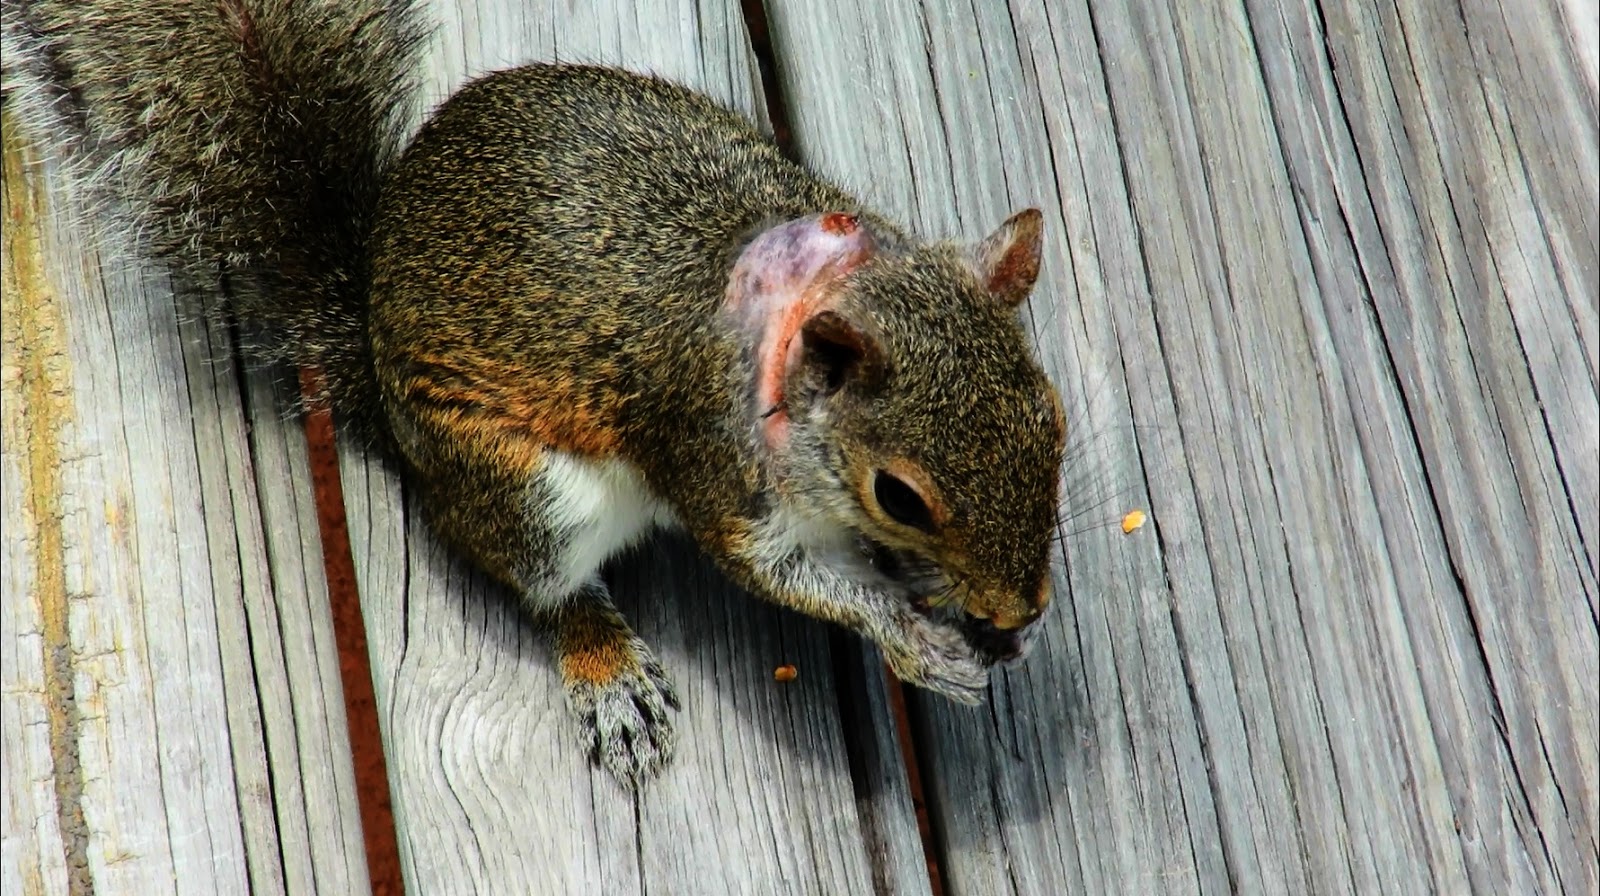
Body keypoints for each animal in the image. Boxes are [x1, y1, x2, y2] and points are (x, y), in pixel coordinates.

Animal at [3, 0, 1066, 785]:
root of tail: (377, 365)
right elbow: (789, 576)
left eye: (1052, 420)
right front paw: (916, 640)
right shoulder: (711, 462)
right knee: (542, 585)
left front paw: (972, 628)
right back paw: (605, 667)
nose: (1022, 611)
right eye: (901, 494)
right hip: (529, 495)